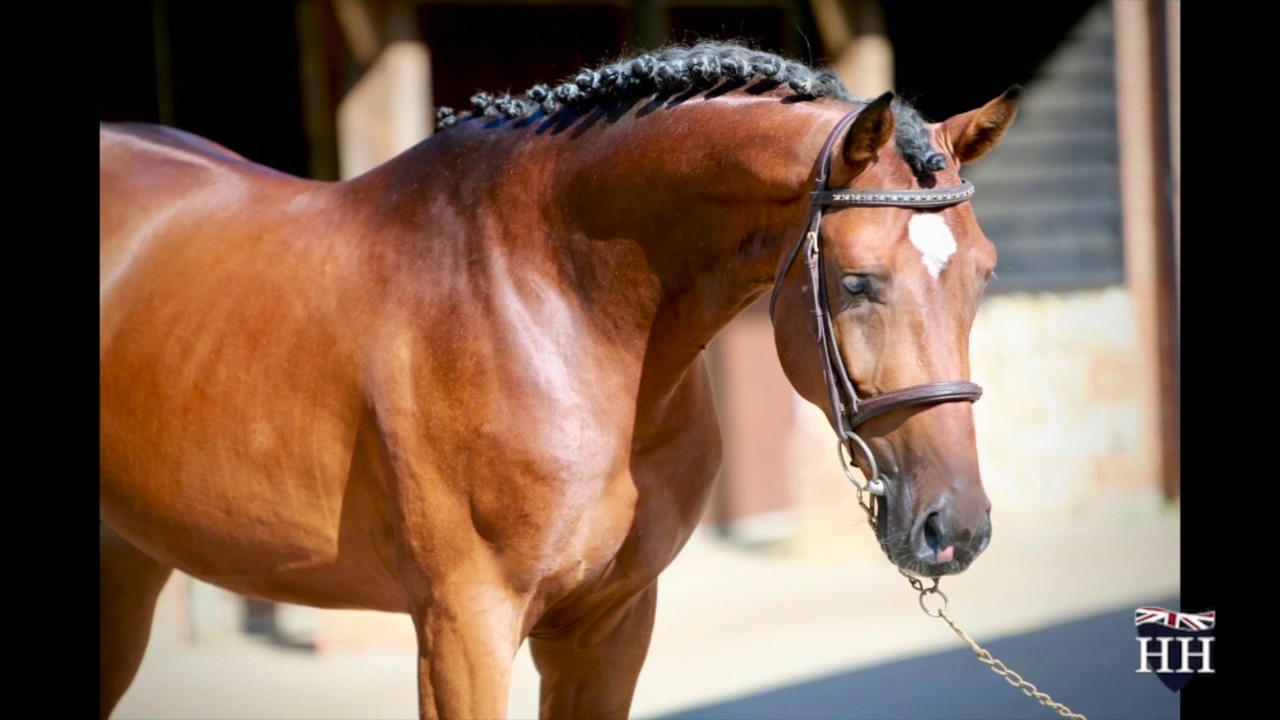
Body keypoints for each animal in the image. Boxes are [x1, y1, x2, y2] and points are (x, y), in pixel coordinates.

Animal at [100, 41, 1019, 719]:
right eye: (858, 282)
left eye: (984, 274)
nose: (957, 527)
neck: (555, 299)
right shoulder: (464, 628)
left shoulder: (610, 622)